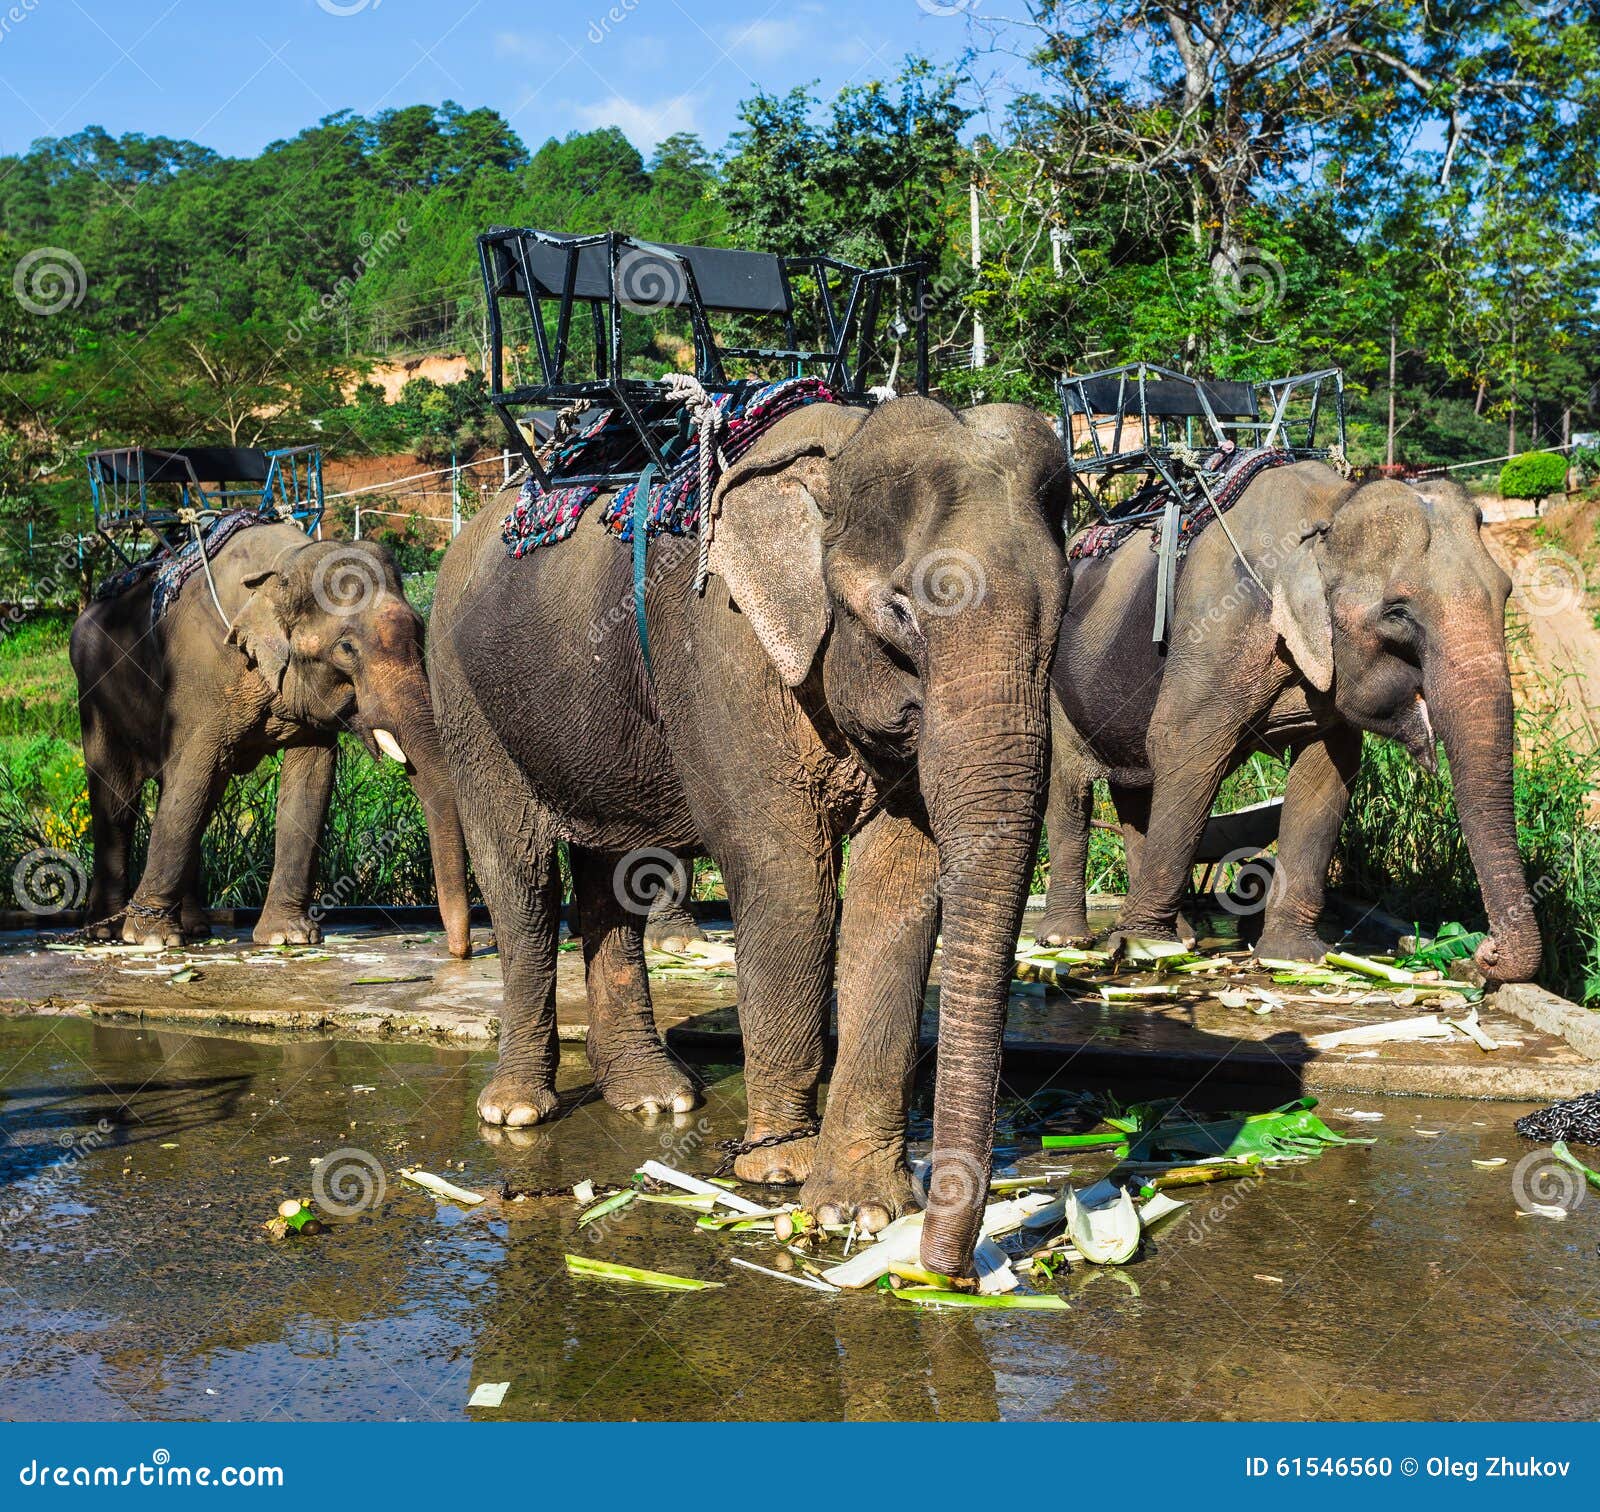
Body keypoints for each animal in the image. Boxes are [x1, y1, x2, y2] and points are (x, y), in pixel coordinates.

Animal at [70, 526, 471, 958]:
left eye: (420, 632)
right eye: (346, 648)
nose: (458, 951)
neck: (286, 562)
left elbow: (311, 780)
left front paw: (288, 937)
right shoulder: (202, 674)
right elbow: (194, 771)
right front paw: (151, 939)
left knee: (194, 797)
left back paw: (194, 927)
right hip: (94, 698)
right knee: (119, 798)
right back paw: (106, 931)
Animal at [428, 395, 1068, 1277]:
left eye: (1062, 619)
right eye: (901, 613)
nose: (951, 1272)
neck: (838, 454)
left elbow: (898, 889)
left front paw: (859, 1210)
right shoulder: (718, 648)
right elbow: (788, 879)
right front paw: (781, 1169)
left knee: (608, 872)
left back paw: (656, 1099)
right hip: (465, 696)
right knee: (520, 877)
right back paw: (520, 1112)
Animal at [1036, 467, 1541, 986]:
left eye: (1506, 592)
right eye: (1397, 613)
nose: (1484, 955)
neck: (1329, 511)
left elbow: (1327, 771)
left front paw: (1294, 958)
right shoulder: (1215, 626)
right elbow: (1182, 746)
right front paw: (1141, 950)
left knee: (1135, 789)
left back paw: (1178, 937)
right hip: (1055, 677)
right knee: (1071, 785)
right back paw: (1068, 941)